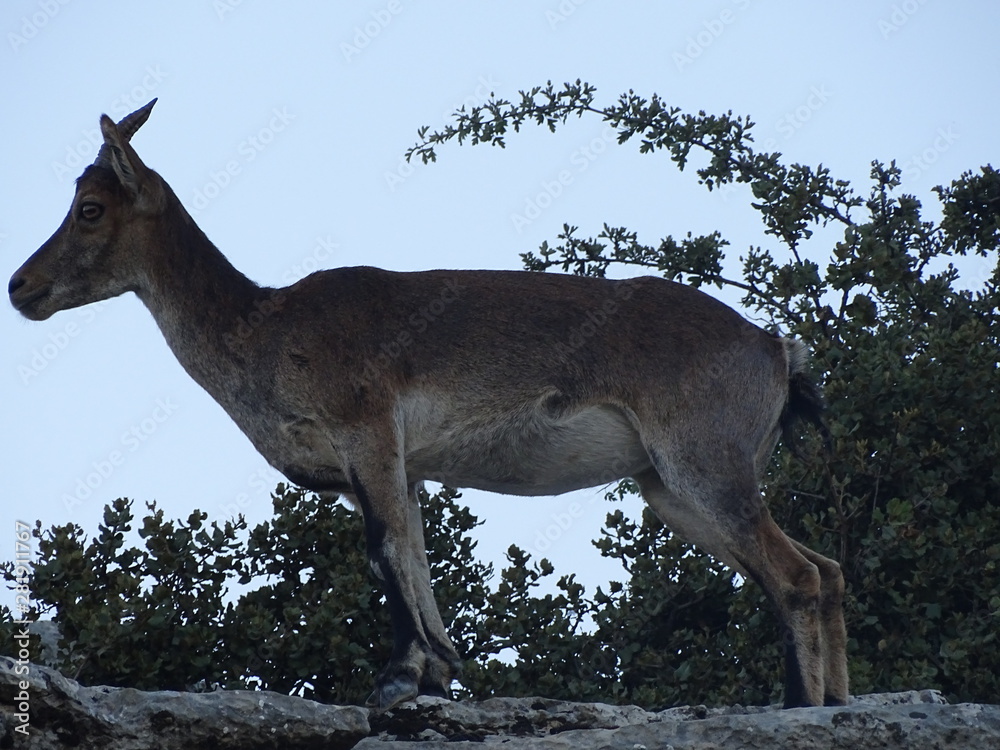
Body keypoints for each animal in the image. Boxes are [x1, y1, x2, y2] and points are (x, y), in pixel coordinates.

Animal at [8, 100, 848, 710]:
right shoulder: (395, 467)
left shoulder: (367, 432)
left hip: (704, 464)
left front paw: (397, 679)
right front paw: (436, 674)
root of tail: (776, 351)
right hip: (667, 490)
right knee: (824, 568)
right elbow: (413, 554)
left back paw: (799, 708)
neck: (263, 328)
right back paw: (836, 700)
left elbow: (386, 550)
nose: (21, 287)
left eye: (90, 207)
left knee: (794, 578)